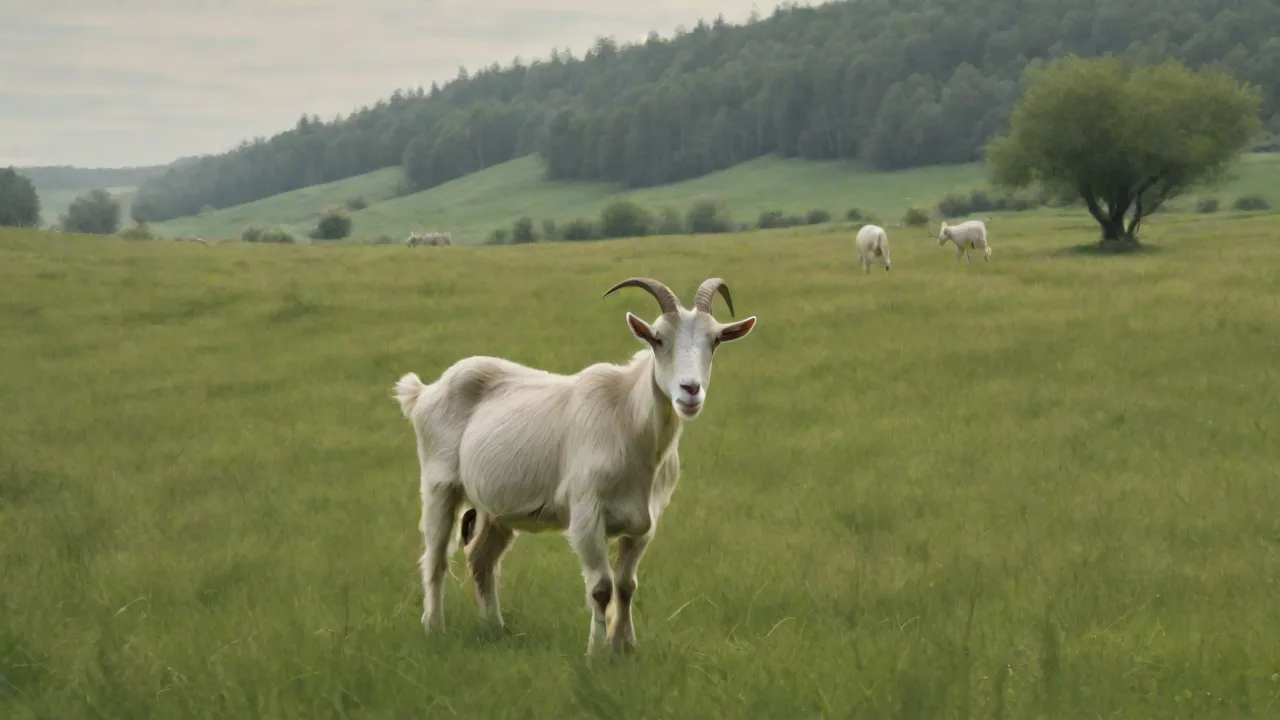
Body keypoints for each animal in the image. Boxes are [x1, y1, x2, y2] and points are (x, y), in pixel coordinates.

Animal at [392, 277, 757, 655]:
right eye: (658, 339)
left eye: (715, 340)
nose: (690, 390)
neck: (626, 418)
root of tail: (423, 393)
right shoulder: (586, 513)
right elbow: (601, 588)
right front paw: (595, 653)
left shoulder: (644, 524)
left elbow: (626, 585)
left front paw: (623, 647)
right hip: (439, 484)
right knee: (434, 558)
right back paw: (434, 628)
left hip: (496, 507)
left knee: (481, 557)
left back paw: (494, 627)